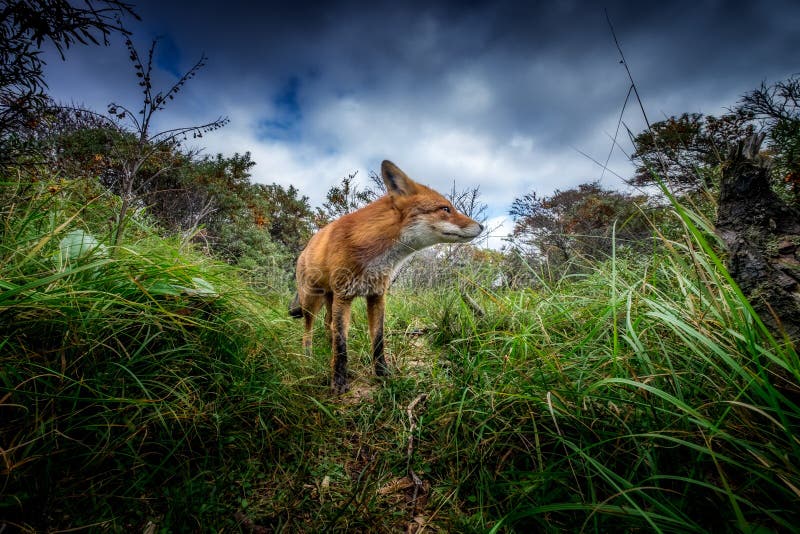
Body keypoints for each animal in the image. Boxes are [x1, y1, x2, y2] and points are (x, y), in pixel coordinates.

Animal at [289, 160, 484, 394]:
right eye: (445, 209)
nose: (482, 226)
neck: (373, 251)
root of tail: (304, 249)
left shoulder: (377, 295)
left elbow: (377, 339)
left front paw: (382, 373)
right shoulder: (344, 296)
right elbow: (342, 344)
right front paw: (339, 381)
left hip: (330, 298)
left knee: (329, 326)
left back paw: (328, 351)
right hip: (312, 300)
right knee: (308, 329)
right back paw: (307, 358)